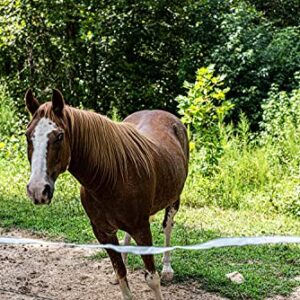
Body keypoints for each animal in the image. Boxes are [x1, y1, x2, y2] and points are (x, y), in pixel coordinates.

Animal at [24, 89, 189, 300]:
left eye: (60, 136)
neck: (110, 177)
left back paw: (167, 269)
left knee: (168, 226)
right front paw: (119, 272)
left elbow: (152, 279)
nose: (38, 190)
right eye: (28, 135)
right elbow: (121, 273)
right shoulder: (103, 232)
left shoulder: (142, 229)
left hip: (174, 200)